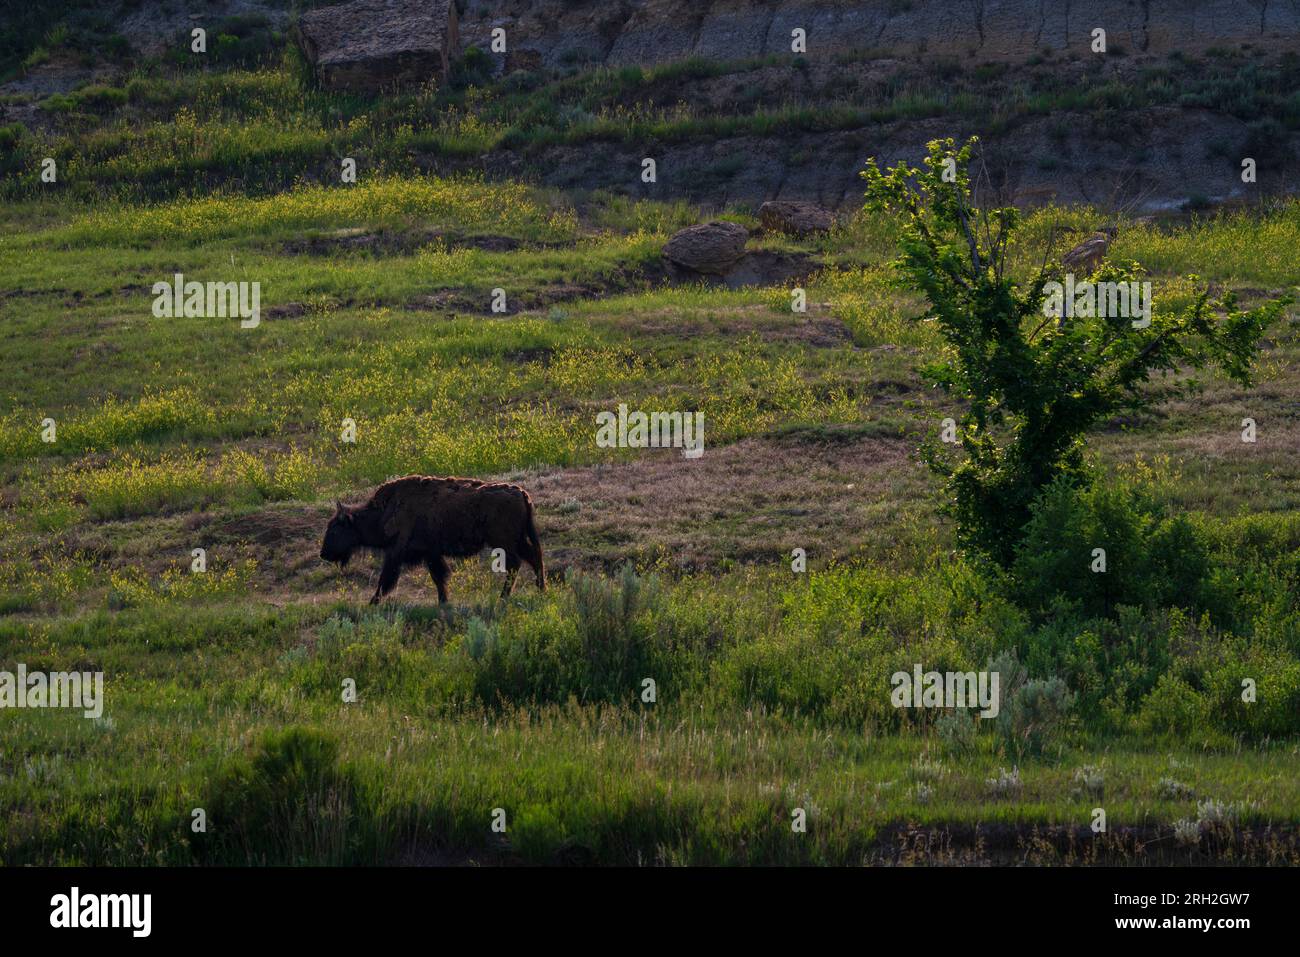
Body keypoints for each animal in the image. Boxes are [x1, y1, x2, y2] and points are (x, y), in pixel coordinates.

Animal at [320, 475, 545, 604]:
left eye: (334, 530)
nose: (323, 554)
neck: (385, 512)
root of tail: (522, 493)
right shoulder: (431, 553)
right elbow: (438, 577)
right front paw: (443, 601)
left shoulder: (396, 553)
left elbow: (386, 579)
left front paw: (372, 602)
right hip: (517, 540)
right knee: (533, 558)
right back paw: (540, 589)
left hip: (503, 541)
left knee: (516, 563)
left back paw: (504, 597)